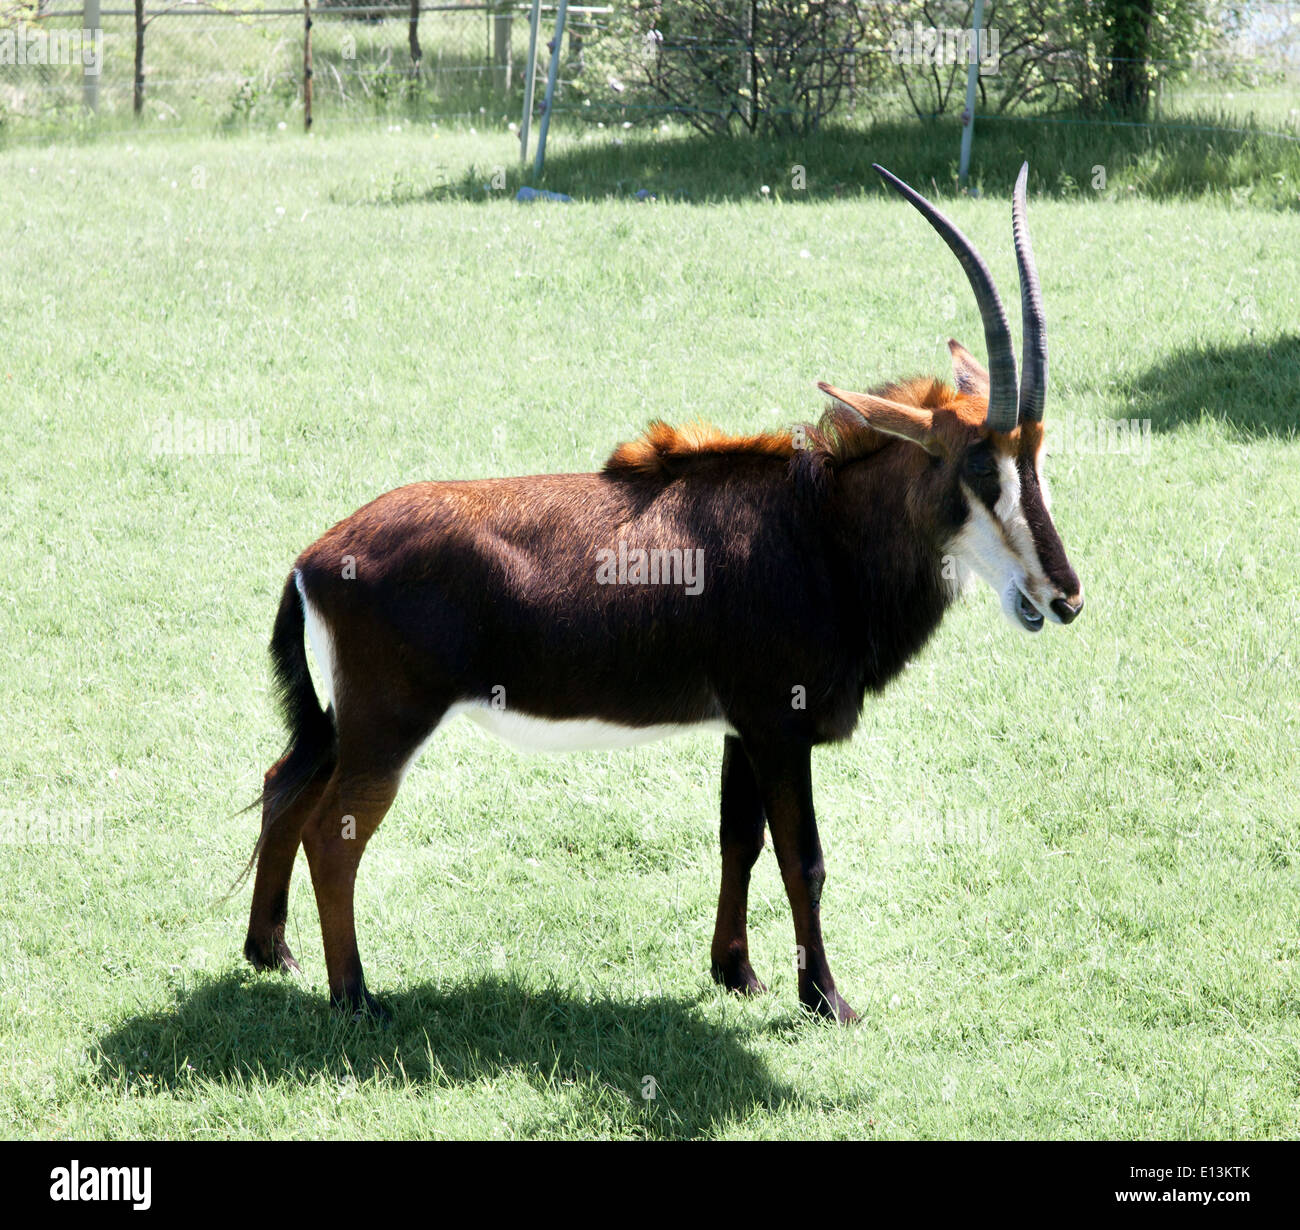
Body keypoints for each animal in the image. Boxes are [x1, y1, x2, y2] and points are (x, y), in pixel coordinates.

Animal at [242, 163, 1082, 1023]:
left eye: (1039, 455)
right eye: (979, 466)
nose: (1063, 597)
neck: (819, 527)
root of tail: (313, 558)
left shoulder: (744, 728)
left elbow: (739, 840)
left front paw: (737, 972)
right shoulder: (781, 727)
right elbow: (804, 859)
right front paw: (826, 999)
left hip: (341, 722)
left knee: (283, 789)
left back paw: (271, 953)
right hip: (388, 724)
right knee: (334, 834)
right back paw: (355, 995)